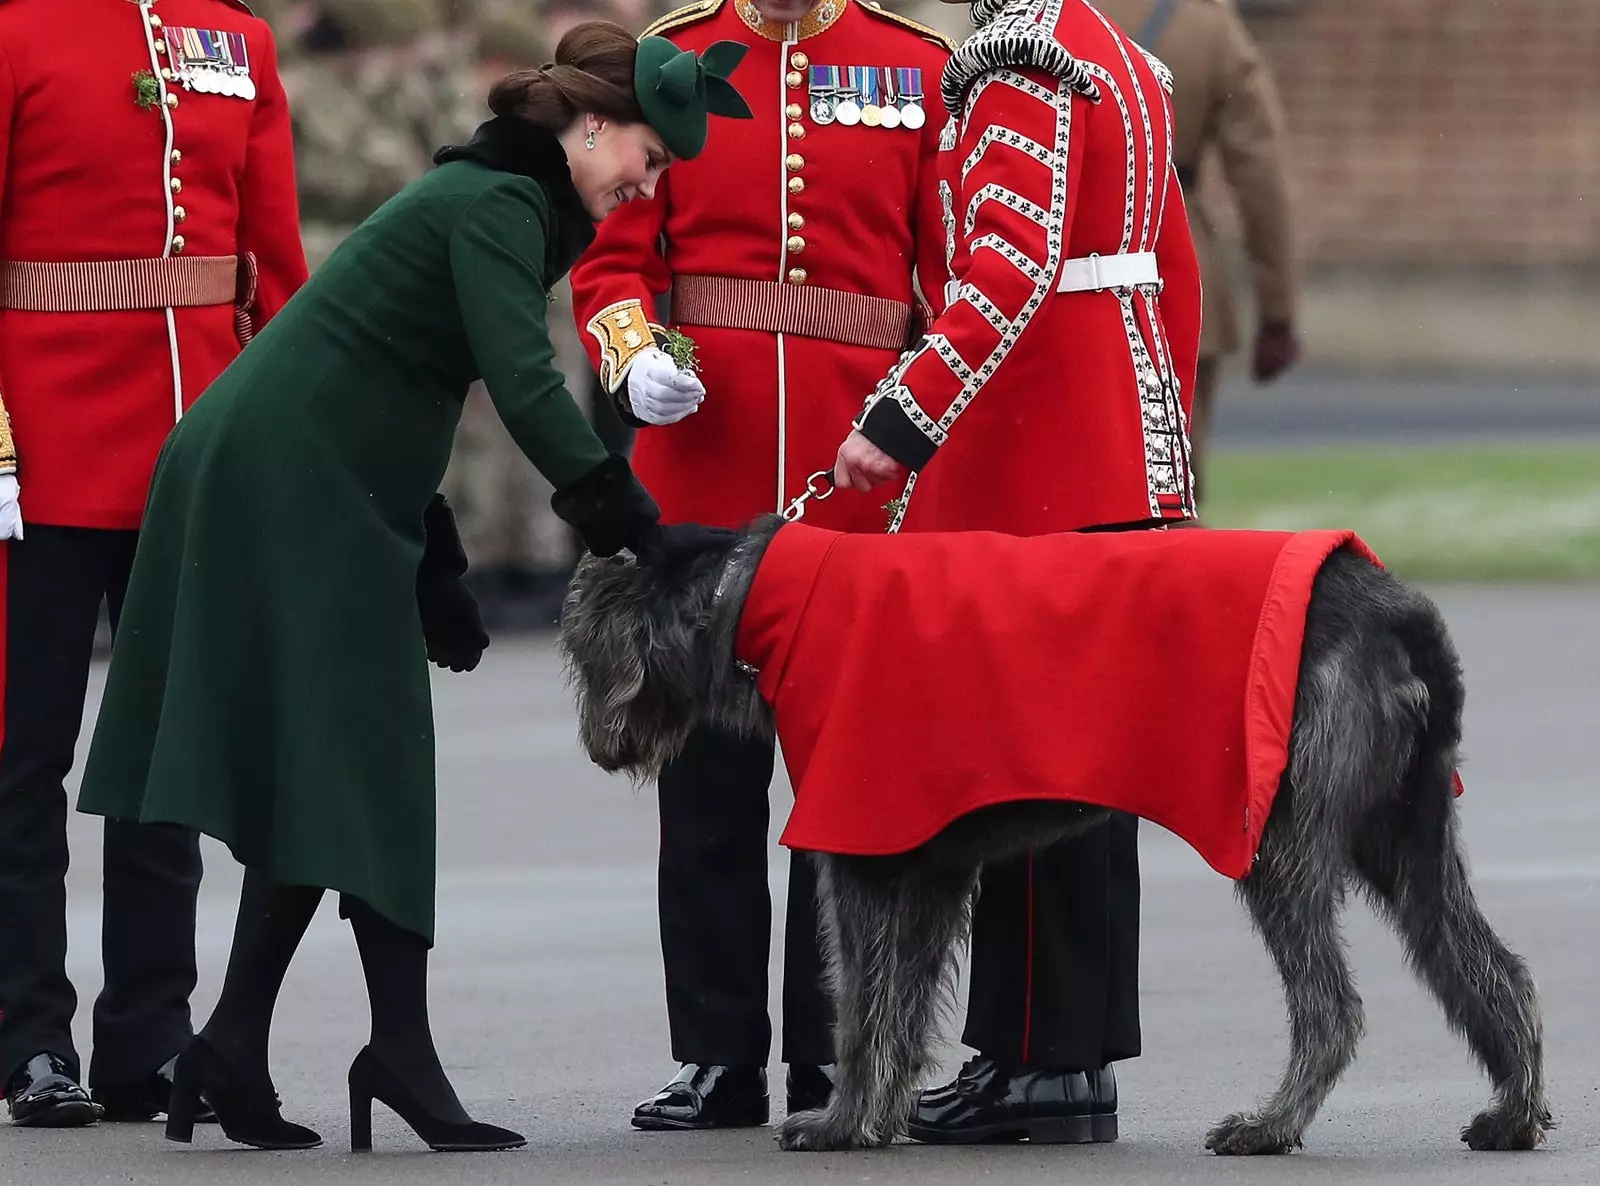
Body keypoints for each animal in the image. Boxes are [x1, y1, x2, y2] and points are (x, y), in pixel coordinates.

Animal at [560, 512, 1548, 1152]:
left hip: (1279, 838)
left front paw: (841, 1124)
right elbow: (903, 1000)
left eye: (575, 646)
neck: (759, 597)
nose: (600, 747)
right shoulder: (927, 862)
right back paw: (1513, 1113)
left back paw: (1271, 1127)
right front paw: (881, 1116)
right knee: (1492, 966)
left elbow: (862, 1006)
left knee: (1330, 1004)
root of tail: (1400, 612)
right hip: (1406, 834)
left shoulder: (862, 851)